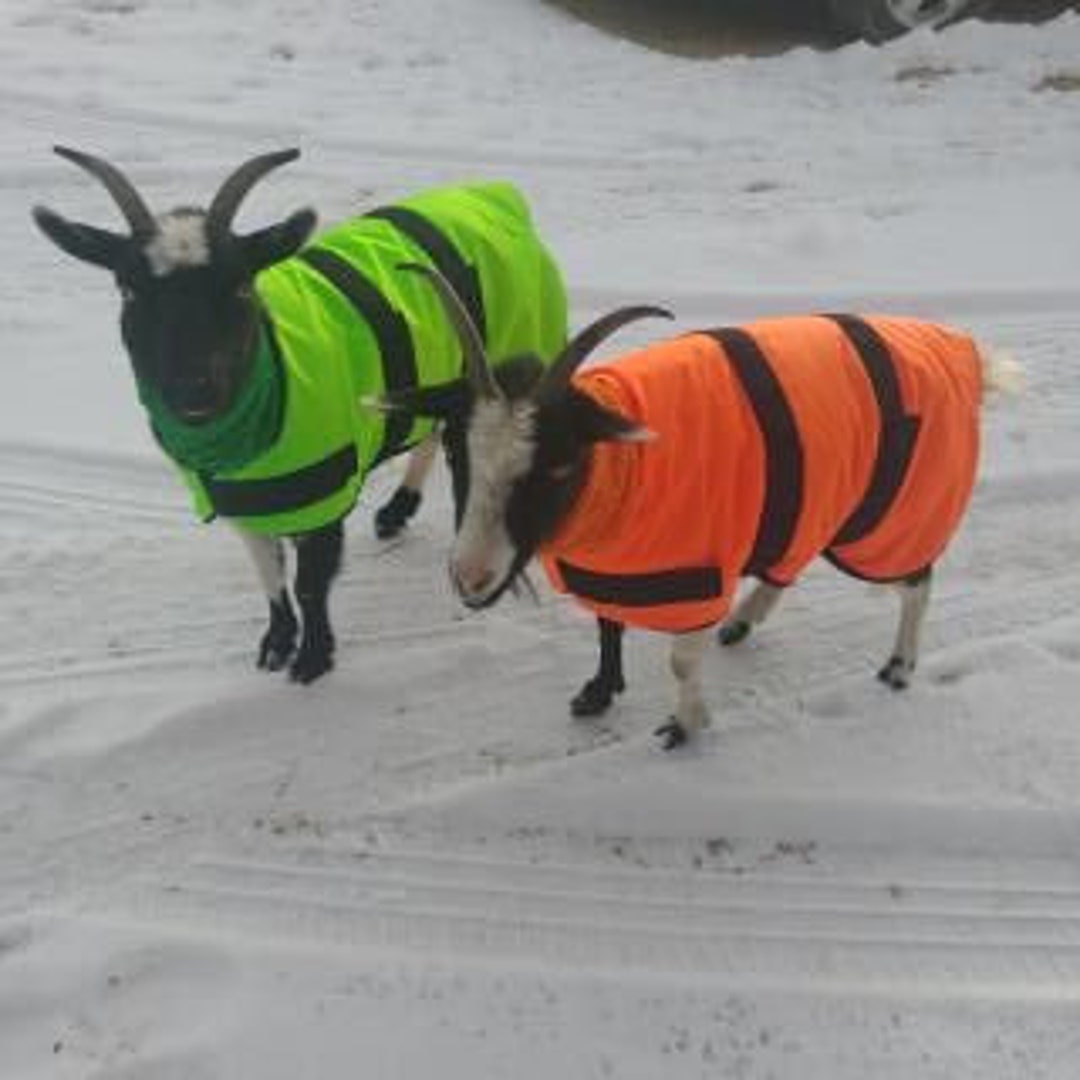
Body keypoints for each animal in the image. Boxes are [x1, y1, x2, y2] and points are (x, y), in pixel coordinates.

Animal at [33, 148, 567, 683]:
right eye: (128, 291)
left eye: (240, 288)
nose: (193, 391)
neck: (274, 386)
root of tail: (497, 197)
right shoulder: (242, 500)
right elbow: (269, 573)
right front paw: (276, 643)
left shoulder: (324, 491)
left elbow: (311, 583)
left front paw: (313, 658)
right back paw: (397, 510)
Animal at [388, 263, 1021, 749]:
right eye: (455, 452)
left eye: (558, 465)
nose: (471, 577)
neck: (625, 469)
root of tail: (961, 353)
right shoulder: (616, 567)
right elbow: (608, 625)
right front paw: (598, 693)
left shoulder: (698, 571)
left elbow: (681, 661)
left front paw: (686, 725)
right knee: (791, 560)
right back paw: (744, 621)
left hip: (891, 514)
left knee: (917, 580)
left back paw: (898, 666)